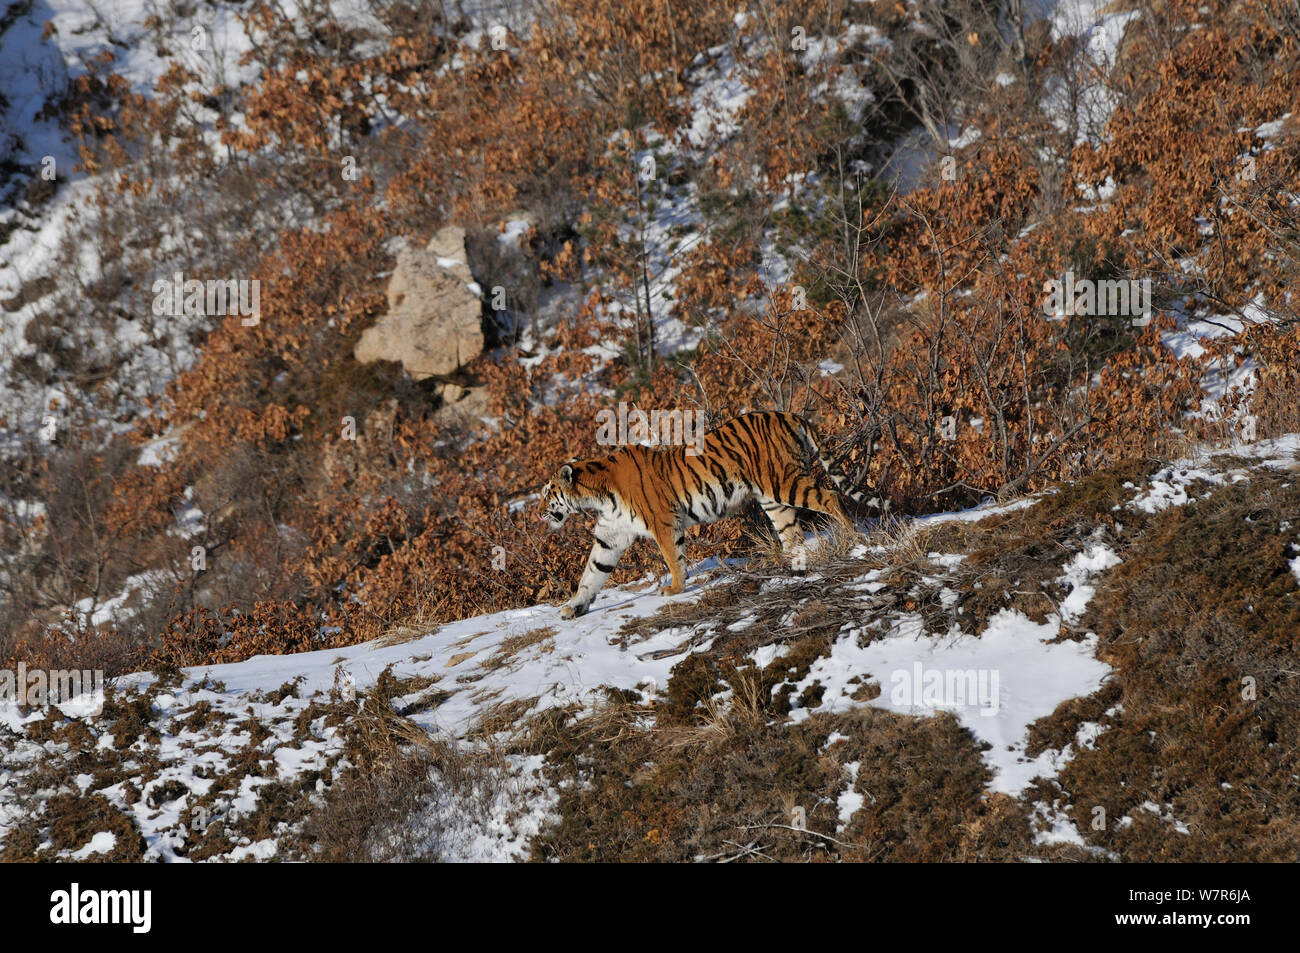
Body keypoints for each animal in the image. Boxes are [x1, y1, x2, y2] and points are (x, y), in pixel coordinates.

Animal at [538, 410, 881, 619]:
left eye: (547, 492)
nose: (540, 514)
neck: (598, 496)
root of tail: (785, 413)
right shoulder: (611, 536)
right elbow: (591, 574)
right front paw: (573, 607)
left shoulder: (663, 522)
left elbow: (673, 558)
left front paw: (674, 589)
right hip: (771, 497)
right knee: (792, 532)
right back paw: (785, 564)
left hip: (784, 480)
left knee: (830, 496)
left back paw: (851, 536)